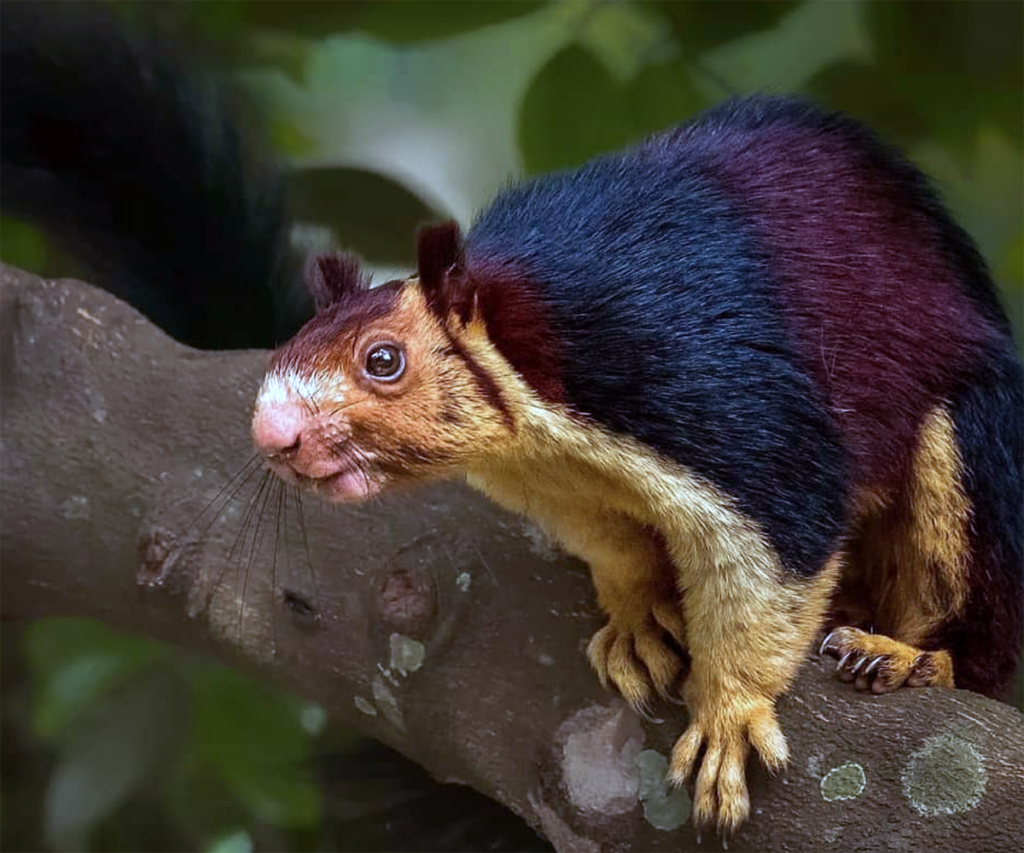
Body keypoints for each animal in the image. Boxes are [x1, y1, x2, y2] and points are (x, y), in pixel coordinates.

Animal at [2, 1, 1022, 837]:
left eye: (383, 360)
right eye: (286, 344)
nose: (273, 438)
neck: (534, 414)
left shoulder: (709, 386)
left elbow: (775, 542)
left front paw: (729, 712)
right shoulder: (561, 488)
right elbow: (613, 545)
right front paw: (636, 614)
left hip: (974, 462)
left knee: (976, 609)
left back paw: (912, 657)